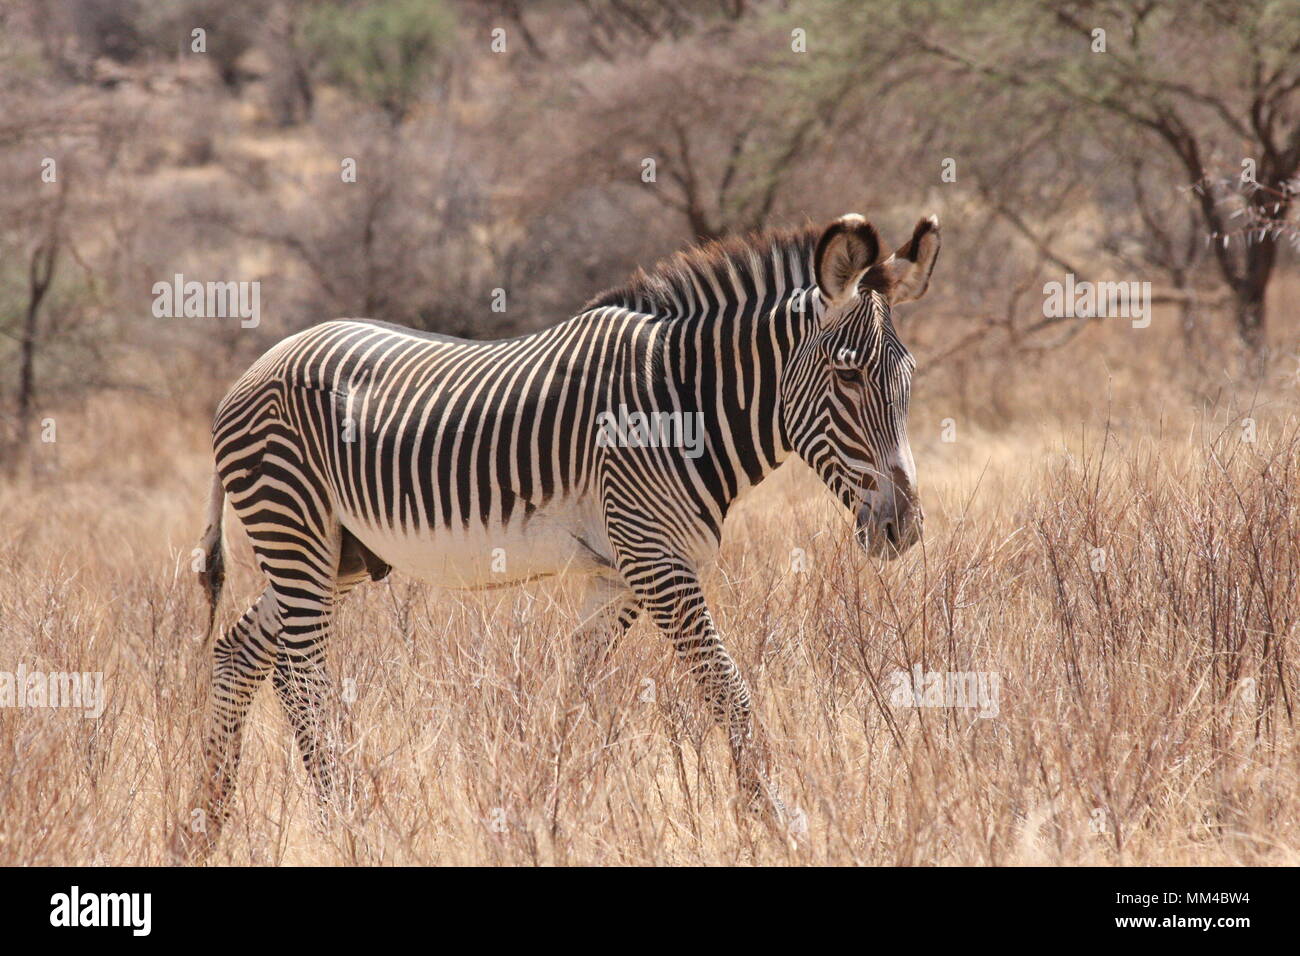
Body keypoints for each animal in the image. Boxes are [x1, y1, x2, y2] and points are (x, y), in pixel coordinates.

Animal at [180, 212, 940, 856]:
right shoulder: (655, 560)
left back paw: (207, 823)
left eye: (907, 376)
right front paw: (779, 821)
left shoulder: (619, 574)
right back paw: (349, 828)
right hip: (295, 530)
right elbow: (728, 687)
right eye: (847, 377)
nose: (904, 527)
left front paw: (550, 810)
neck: (683, 403)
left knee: (240, 652)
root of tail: (251, 371)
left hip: (337, 554)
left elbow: (577, 696)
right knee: (302, 672)